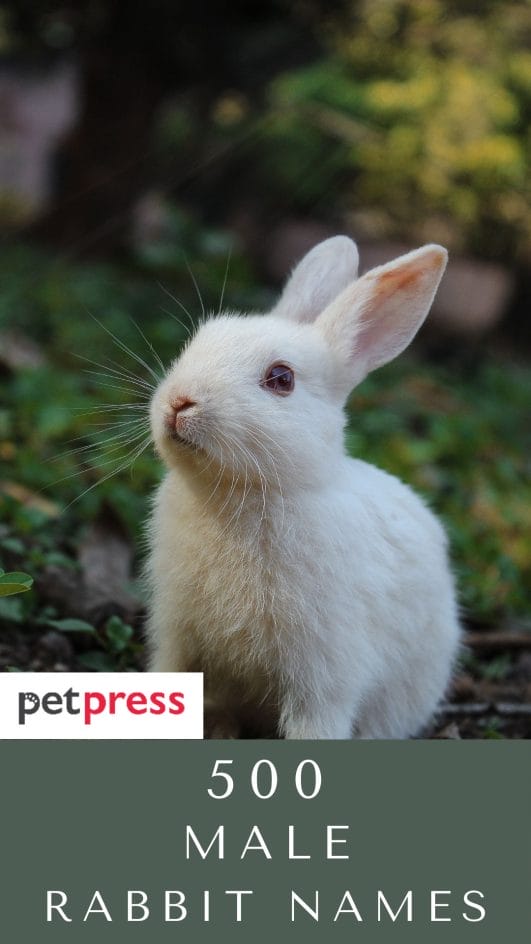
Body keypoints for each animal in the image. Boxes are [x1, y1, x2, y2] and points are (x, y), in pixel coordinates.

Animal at [145, 236, 461, 739]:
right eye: (197, 343)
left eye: (281, 379)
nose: (179, 402)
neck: (241, 492)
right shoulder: (177, 638)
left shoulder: (322, 674)